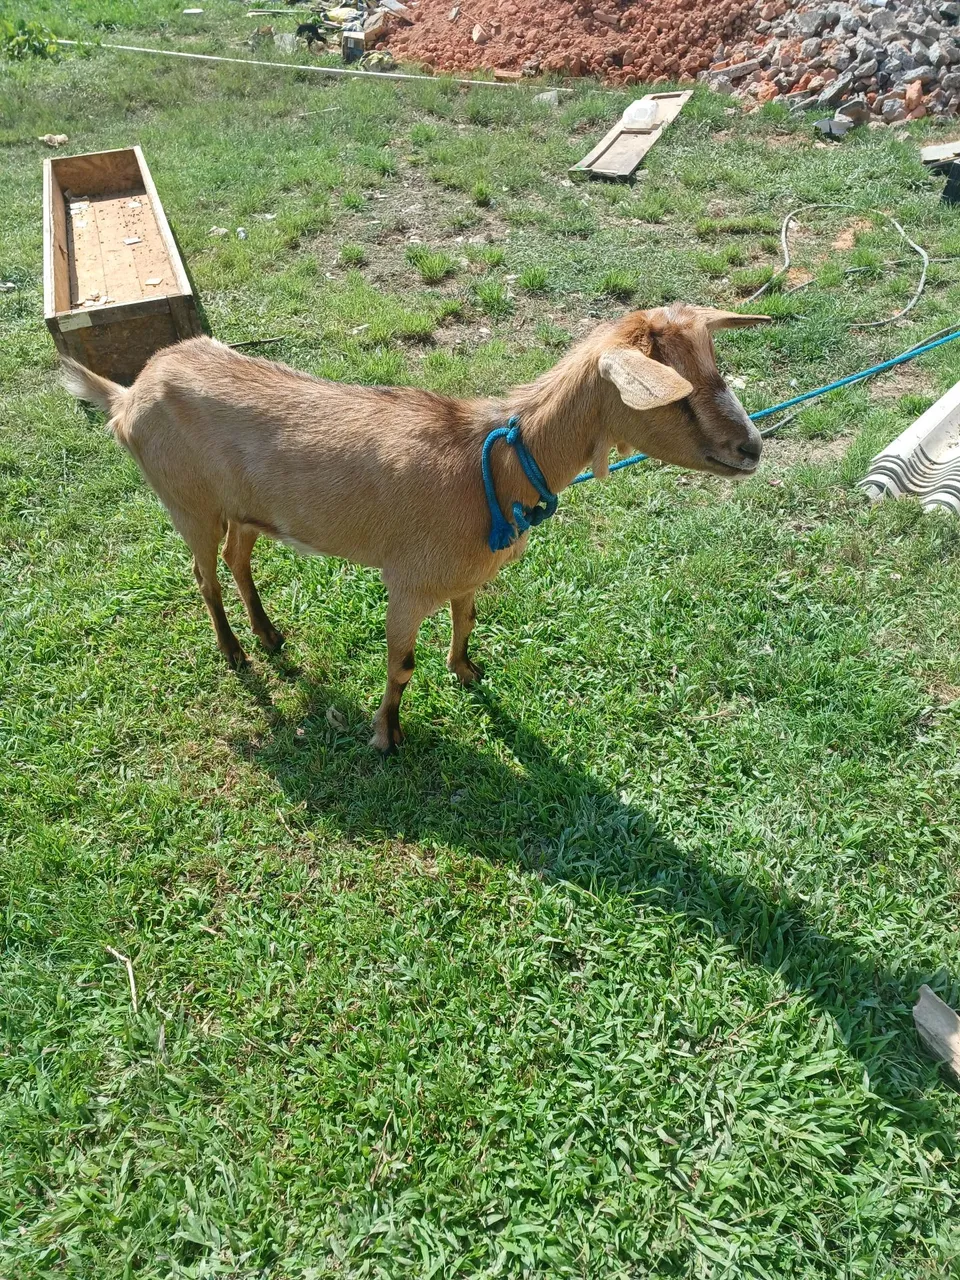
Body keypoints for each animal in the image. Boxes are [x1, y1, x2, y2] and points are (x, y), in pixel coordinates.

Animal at [62, 303, 769, 752]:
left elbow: (467, 622)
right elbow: (400, 665)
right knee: (203, 573)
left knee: (239, 558)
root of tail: (127, 395)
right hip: (187, 501)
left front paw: (467, 670)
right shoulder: (408, 581)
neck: (491, 467)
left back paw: (270, 636)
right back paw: (236, 651)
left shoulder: (465, 575)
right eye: (675, 394)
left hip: (243, 507)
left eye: (717, 369)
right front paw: (386, 736)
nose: (752, 448)